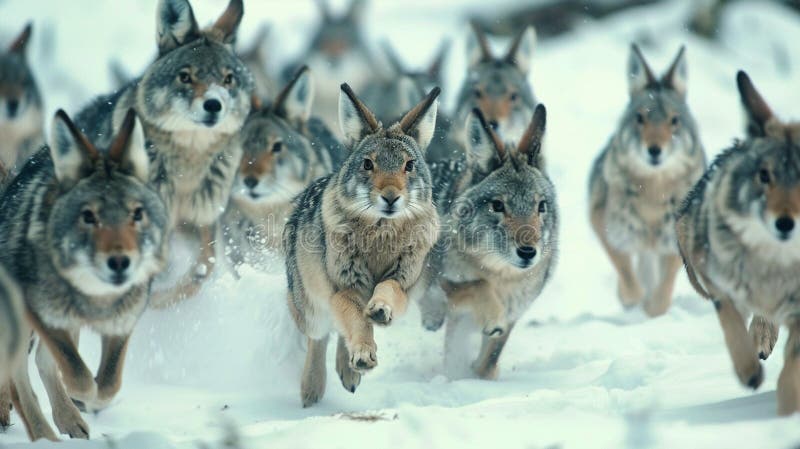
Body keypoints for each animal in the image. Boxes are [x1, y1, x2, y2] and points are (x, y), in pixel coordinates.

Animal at [0, 109, 167, 440]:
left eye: (137, 214)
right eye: (88, 217)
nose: (120, 262)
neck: (95, 297)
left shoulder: (122, 321)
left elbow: (107, 384)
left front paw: (90, 402)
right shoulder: (39, 314)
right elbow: (79, 378)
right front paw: (83, 397)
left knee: (42, 363)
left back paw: (68, 422)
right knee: (20, 380)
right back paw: (44, 436)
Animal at [76, 0, 253, 306]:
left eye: (228, 79)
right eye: (185, 77)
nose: (214, 105)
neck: (186, 170)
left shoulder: (201, 220)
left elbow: (203, 266)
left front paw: (162, 299)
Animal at [283, 83, 440, 407]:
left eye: (409, 165)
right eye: (368, 164)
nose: (391, 197)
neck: (381, 230)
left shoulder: (403, 280)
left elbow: (386, 291)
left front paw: (379, 310)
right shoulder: (345, 286)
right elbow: (355, 319)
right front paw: (365, 356)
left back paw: (348, 374)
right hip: (309, 305)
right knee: (319, 337)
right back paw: (312, 390)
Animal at [589, 44, 705, 317]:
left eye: (674, 120)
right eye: (640, 118)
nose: (654, 150)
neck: (654, 191)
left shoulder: (675, 240)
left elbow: (665, 288)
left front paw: (654, 310)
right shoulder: (608, 228)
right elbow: (625, 271)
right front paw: (630, 298)